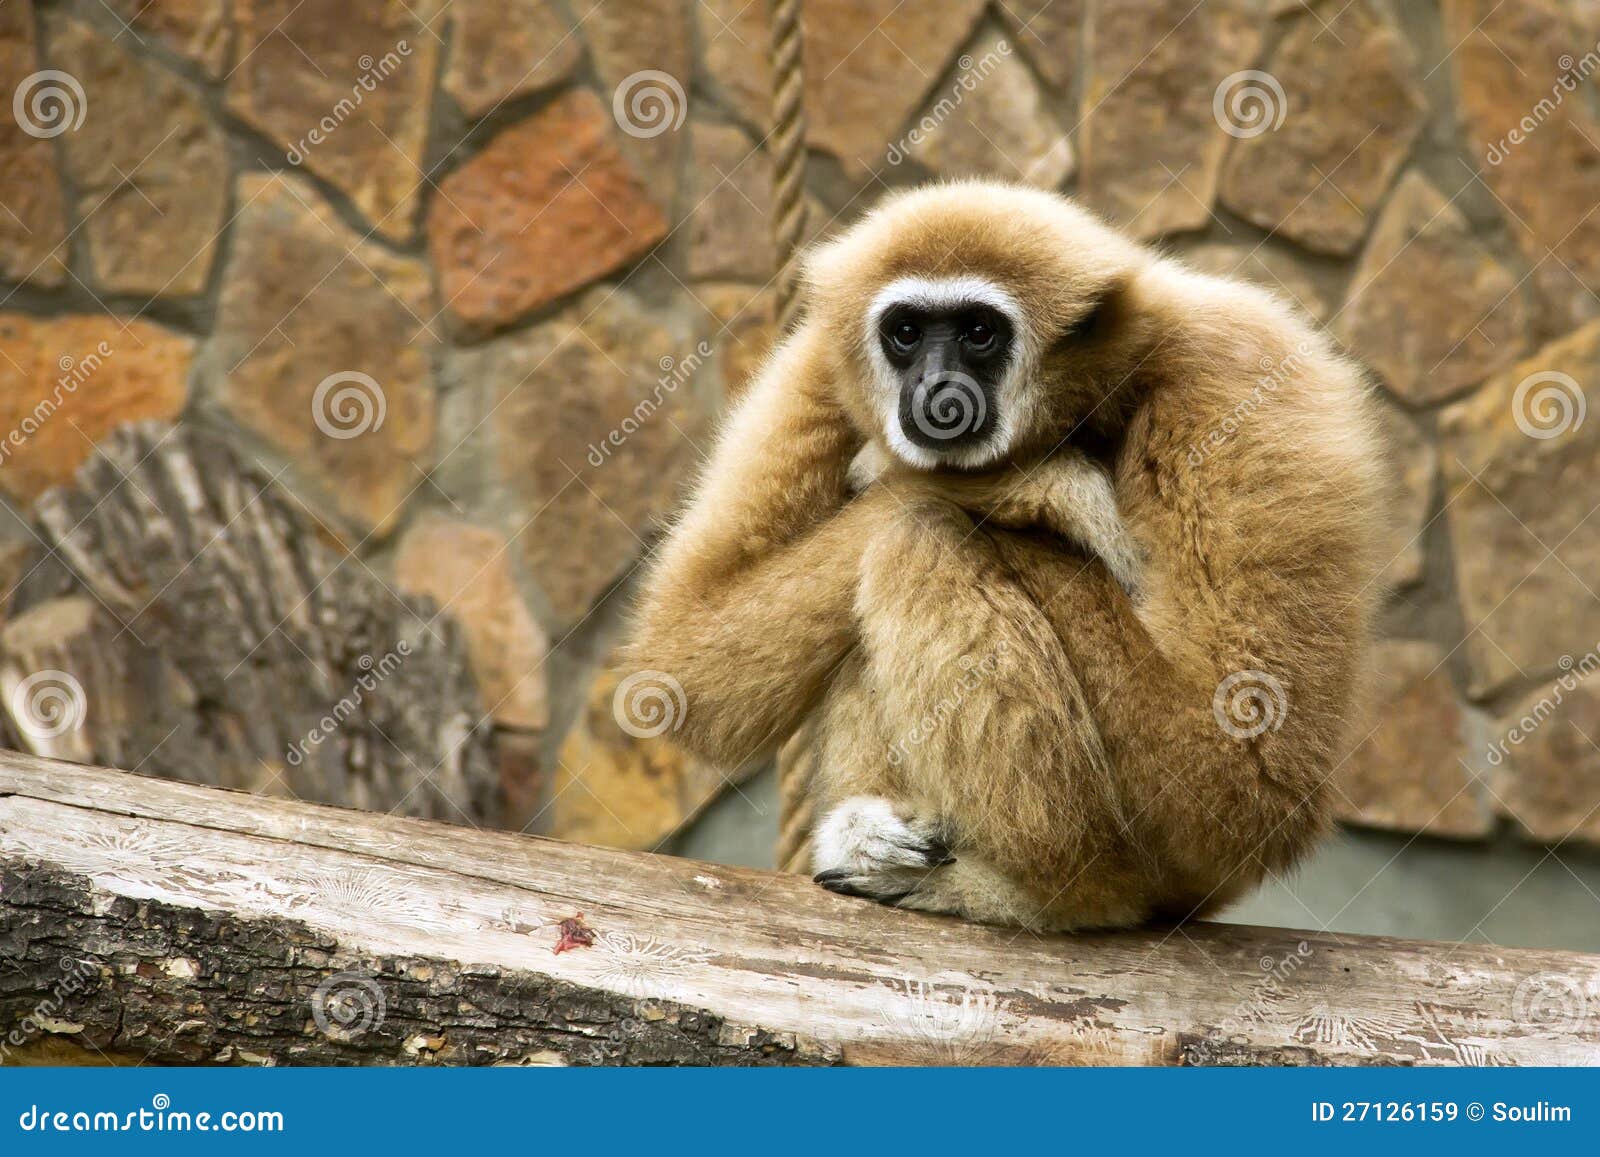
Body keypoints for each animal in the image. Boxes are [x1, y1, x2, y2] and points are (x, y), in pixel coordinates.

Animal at [628, 180, 1384, 932]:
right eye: (906, 332)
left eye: (978, 332)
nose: (937, 386)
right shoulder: (817, 367)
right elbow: (691, 661)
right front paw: (1047, 482)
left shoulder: (1236, 371)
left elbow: (1250, 764)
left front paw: (1037, 483)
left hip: (1178, 849)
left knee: (919, 535)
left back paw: (1045, 894)